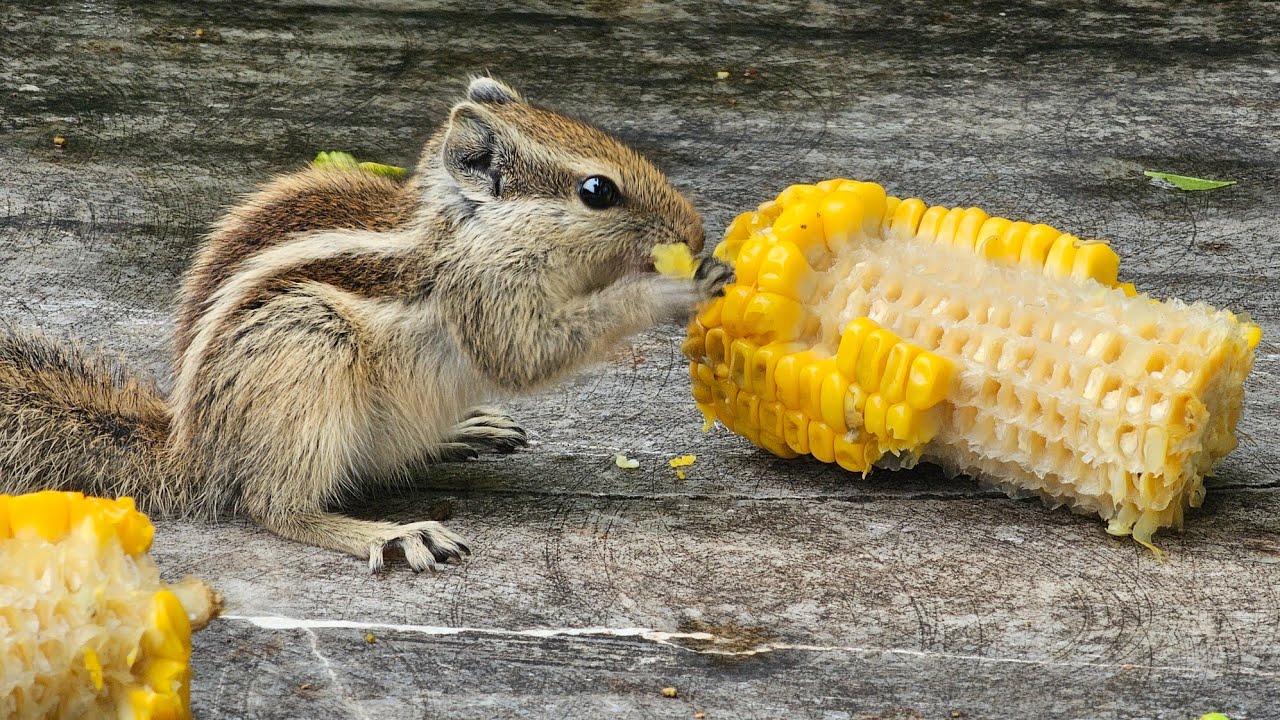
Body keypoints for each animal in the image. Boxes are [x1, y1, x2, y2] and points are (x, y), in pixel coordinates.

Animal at [0, 76, 733, 572]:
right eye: (597, 192)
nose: (696, 231)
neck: (473, 229)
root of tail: (192, 448)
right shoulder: (486, 295)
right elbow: (527, 354)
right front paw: (675, 286)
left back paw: (457, 432)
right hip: (306, 349)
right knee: (276, 508)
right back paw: (389, 533)